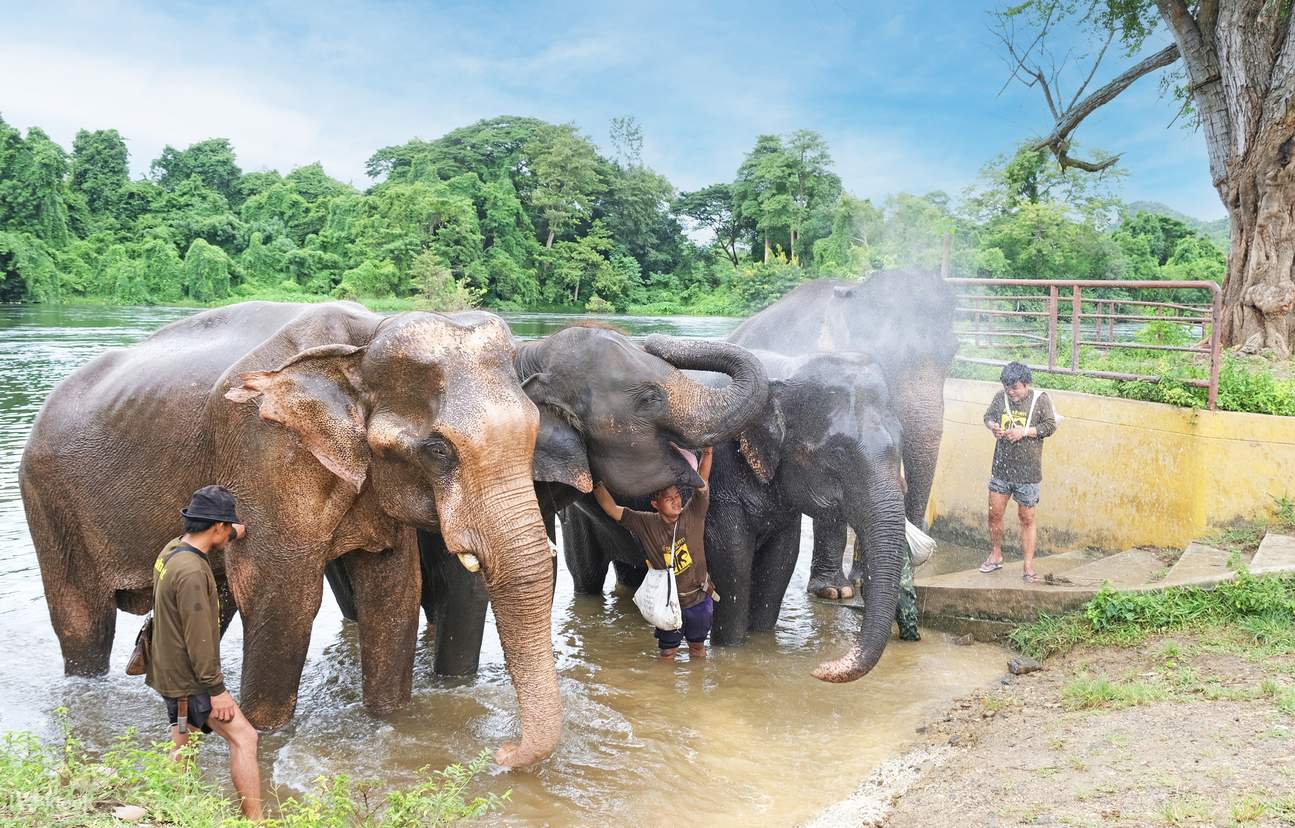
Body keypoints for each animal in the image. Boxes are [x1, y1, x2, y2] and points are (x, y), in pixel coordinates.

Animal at [19, 301, 575, 767]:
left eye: (532, 436)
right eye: (439, 450)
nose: (502, 751)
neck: (362, 342)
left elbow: (392, 592)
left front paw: (392, 721)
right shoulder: (265, 454)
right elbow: (283, 599)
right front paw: (264, 737)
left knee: (210, 603)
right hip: (50, 502)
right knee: (83, 623)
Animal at [558, 351, 913, 681]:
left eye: (901, 445)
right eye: (838, 452)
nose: (819, 669)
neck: (782, 372)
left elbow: (781, 560)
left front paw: (762, 639)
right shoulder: (722, 490)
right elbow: (732, 559)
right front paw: (731, 647)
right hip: (576, 515)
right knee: (586, 576)